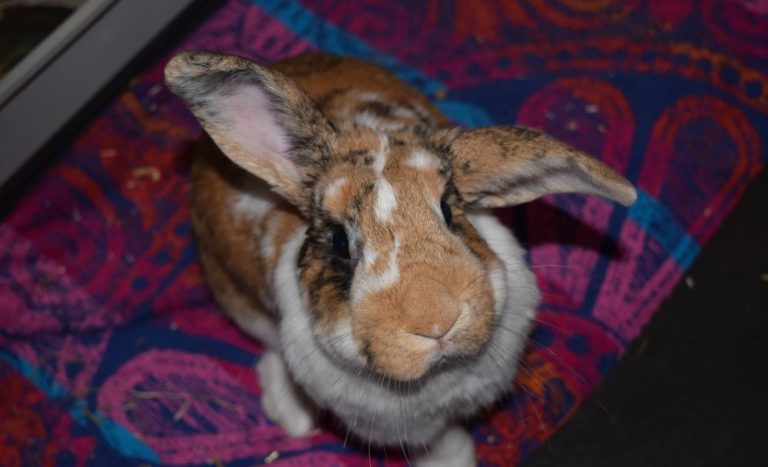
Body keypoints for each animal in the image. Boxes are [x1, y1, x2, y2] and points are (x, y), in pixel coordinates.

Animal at [164, 52, 636, 467]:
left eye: (448, 210)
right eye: (340, 241)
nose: (436, 322)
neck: (440, 376)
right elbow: (442, 444)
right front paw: (456, 461)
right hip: (242, 304)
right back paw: (293, 416)